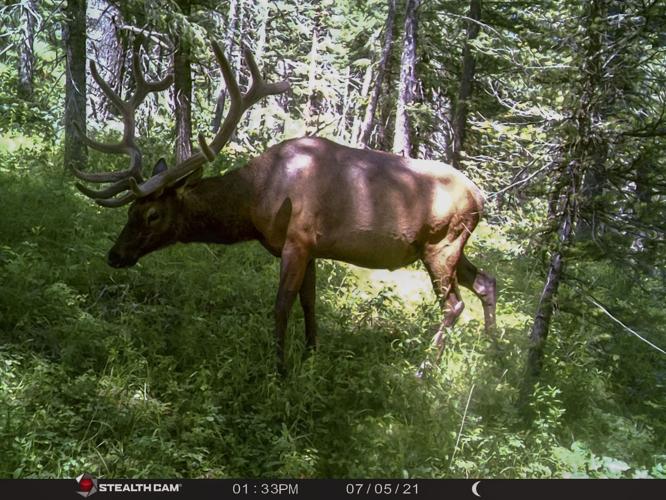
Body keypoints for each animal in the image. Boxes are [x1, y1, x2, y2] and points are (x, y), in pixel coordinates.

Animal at [72, 38, 497, 374]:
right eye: (129, 212)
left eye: (152, 214)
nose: (114, 255)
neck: (256, 202)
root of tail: (481, 198)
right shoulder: (312, 248)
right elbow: (310, 304)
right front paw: (310, 356)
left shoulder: (297, 240)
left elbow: (281, 306)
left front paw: (279, 368)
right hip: (450, 246)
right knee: (486, 281)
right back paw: (495, 359)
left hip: (441, 245)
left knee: (454, 305)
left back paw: (425, 370)